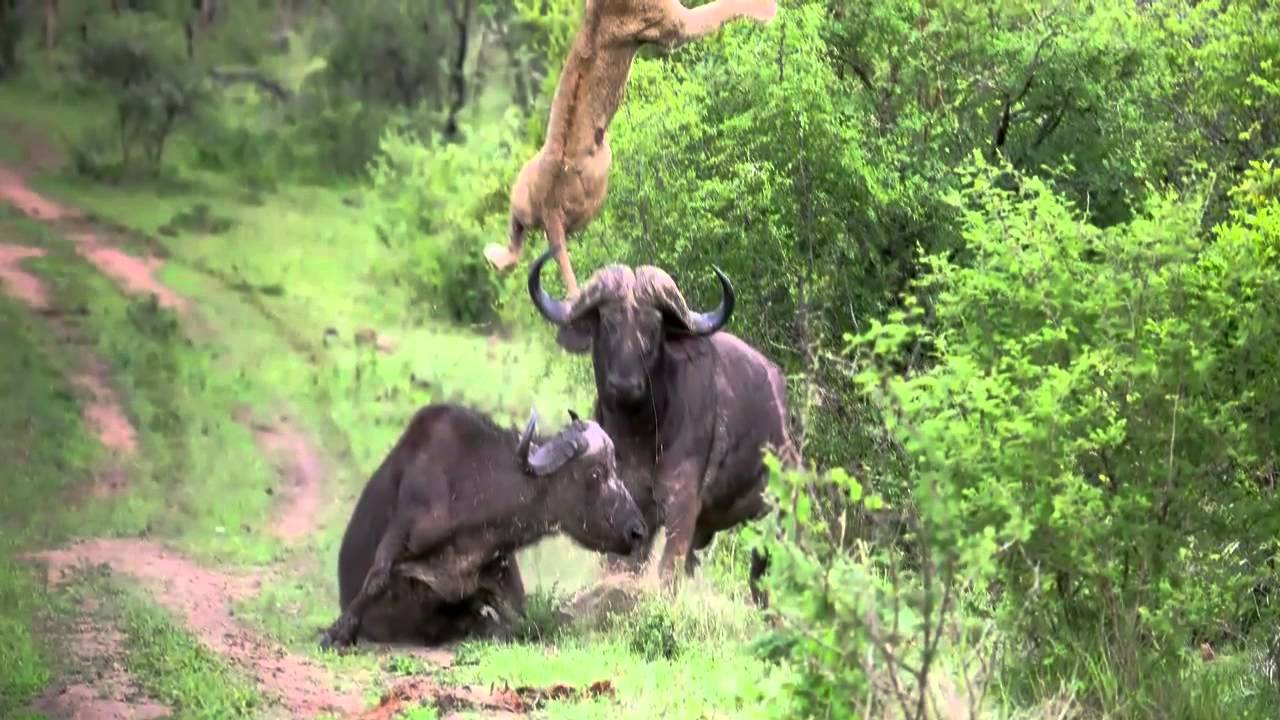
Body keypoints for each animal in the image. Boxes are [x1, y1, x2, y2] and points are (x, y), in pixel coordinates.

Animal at [322, 403, 648, 649]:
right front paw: (337, 632)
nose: (637, 531)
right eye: (595, 474)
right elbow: (376, 578)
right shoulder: (402, 533)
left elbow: (520, 619)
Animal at [527, 249, 801, 603]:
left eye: (652, 328)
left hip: (776, 517)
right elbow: (621, 563)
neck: (639, 434)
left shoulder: (682, 501)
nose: (625, 385)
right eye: (609, 322)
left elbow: (668, 568)